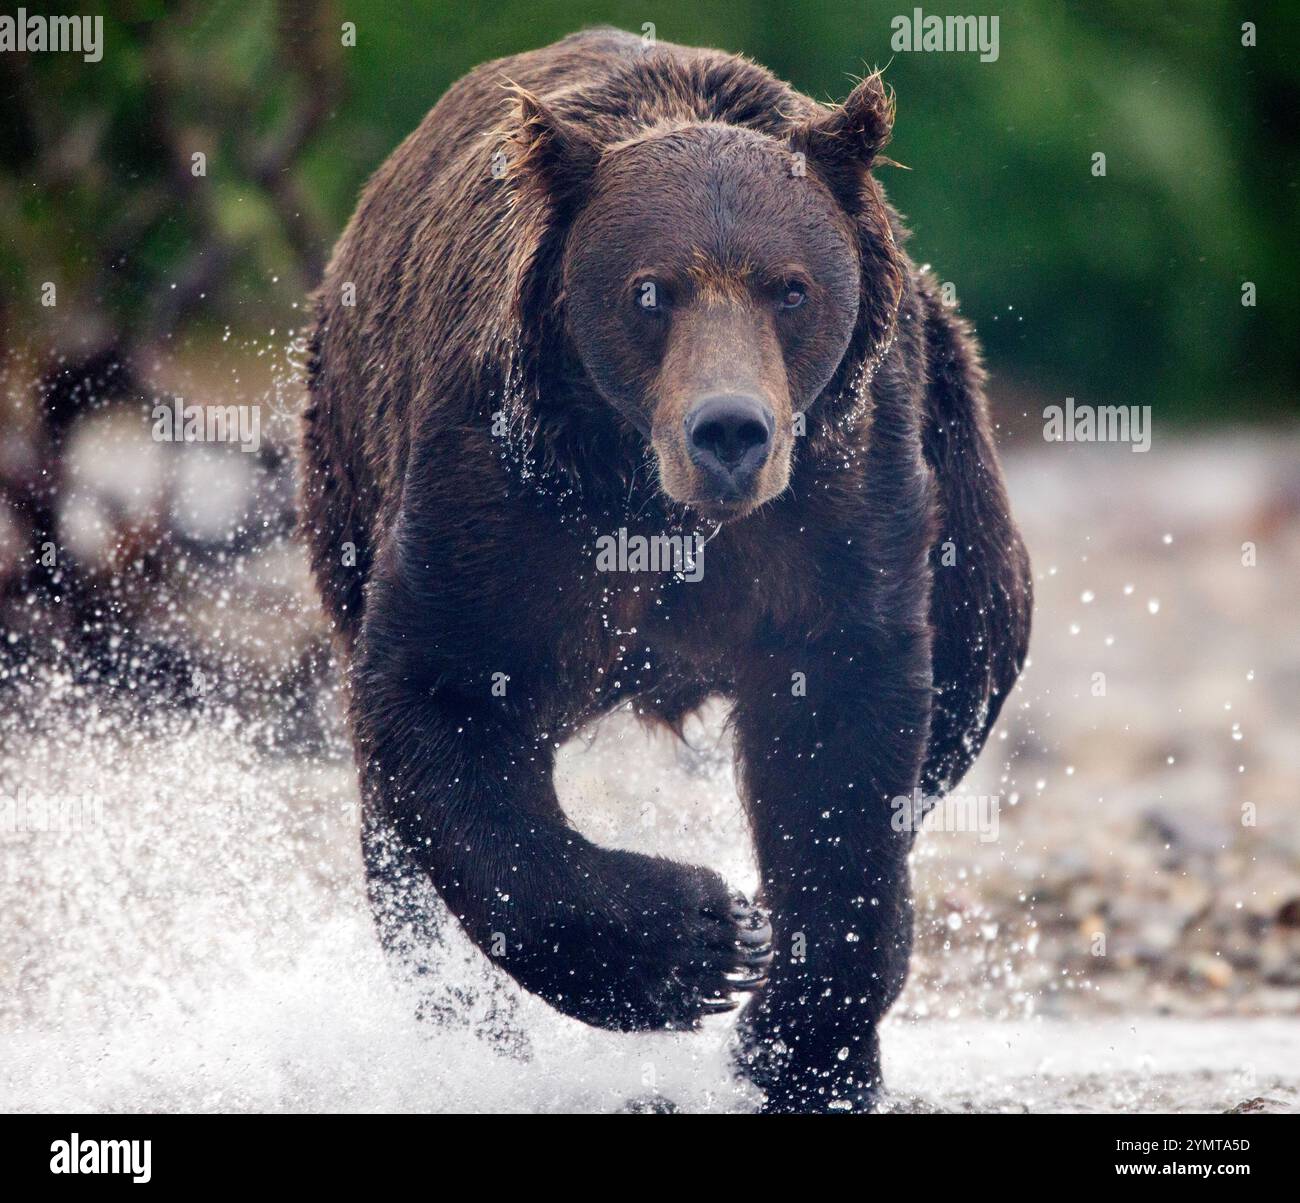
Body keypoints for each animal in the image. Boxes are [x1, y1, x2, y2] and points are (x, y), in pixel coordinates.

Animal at [300, 27, 1031, 1113]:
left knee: (977, 655)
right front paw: (699, 940)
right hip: (348, 459)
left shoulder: (835, 510)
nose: (728, 430)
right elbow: (442, 695)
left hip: (957, 462)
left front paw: (798, 1042)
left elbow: (842, 747)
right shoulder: (498, 493)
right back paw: (467, 1023)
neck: (661, 509)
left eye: (789, 287)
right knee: (393, 815)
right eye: (650, 290)